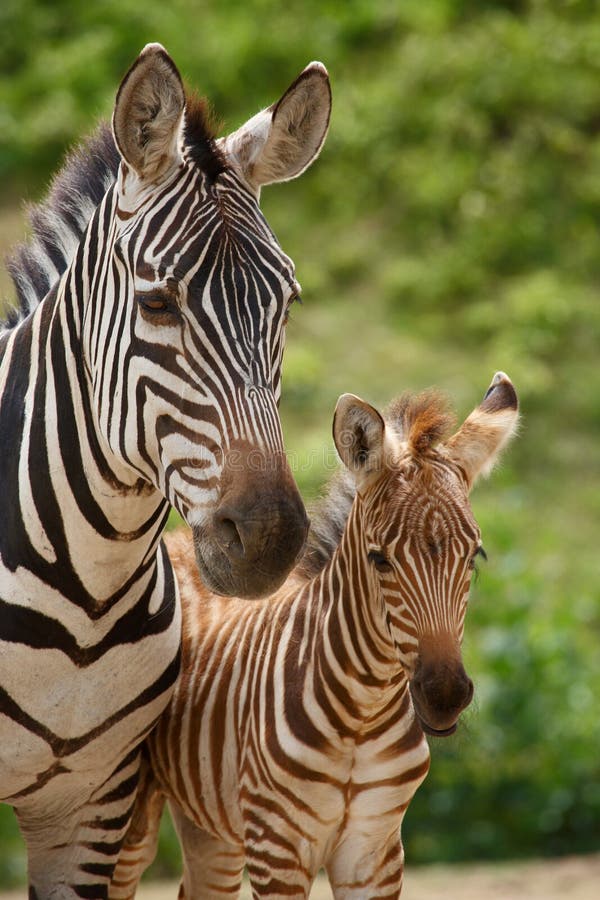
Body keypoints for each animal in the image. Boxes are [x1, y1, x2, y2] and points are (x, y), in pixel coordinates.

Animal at [110, 372, 519, 899]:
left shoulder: (376, 851)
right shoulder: (277, 849)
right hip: (130, 809)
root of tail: (180, 541)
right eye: (379, 559)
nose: (445, 696)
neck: (362, 713)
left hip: (209, 821)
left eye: (476, 557)